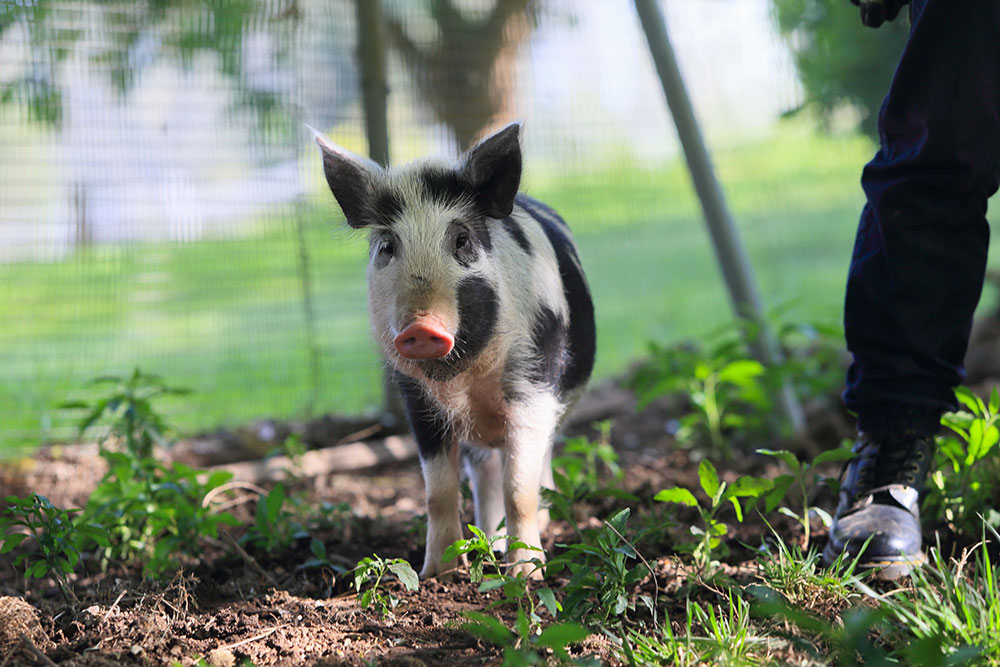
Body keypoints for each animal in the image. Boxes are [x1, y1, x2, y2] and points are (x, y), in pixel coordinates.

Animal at [312, 123, 595, 578]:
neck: (465, 379)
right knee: (483, 475)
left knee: (534, 468)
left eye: (461, 239)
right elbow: (438, 492)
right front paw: (436, 574)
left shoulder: (534, 383)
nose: (422, 327)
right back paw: (490, 545)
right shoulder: (416, 400)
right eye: (388, 246)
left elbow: (520, 487)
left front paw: (526, 575)